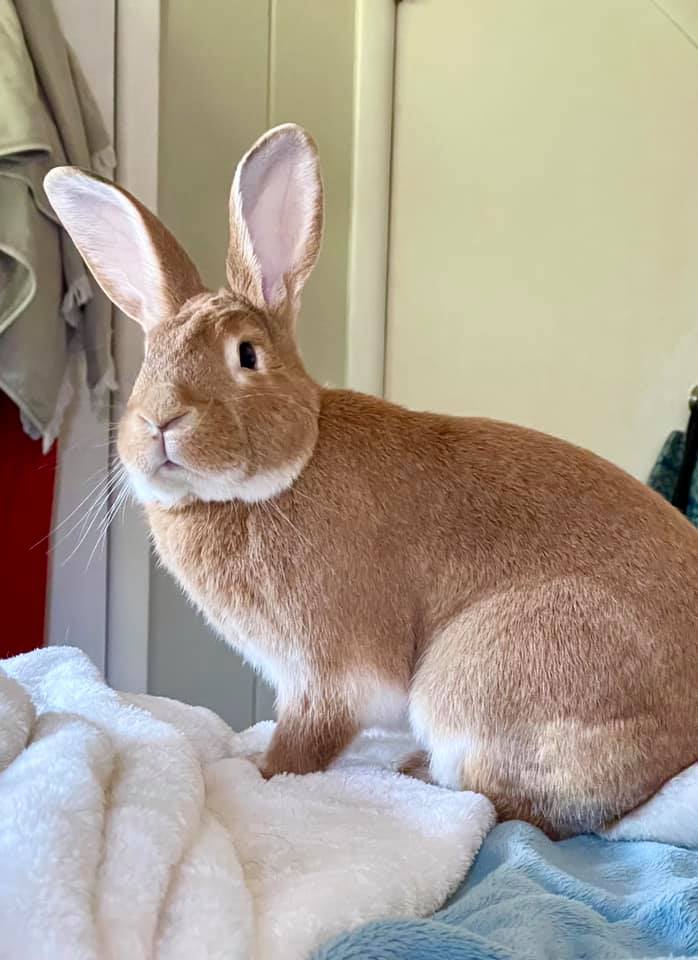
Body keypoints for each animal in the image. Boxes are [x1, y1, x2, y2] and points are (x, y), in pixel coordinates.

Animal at [44, 123, 698, 839]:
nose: (160, 422)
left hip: (490, 670)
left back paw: (415, 774)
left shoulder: (328, 668)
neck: (282, 476)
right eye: (148, 361)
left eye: (247, 355)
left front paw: (258, 772)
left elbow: (305, 739)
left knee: (514, 807)